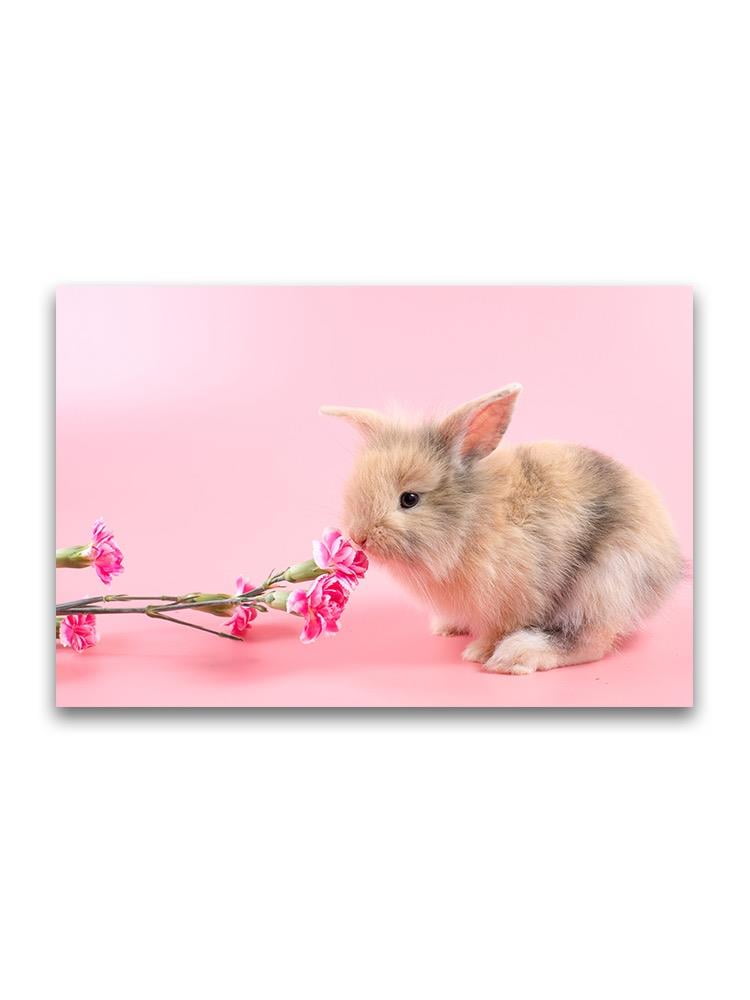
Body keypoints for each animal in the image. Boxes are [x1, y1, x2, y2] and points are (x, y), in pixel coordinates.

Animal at [320, 385, 683, 674]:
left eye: (409, 499)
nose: (358, 536)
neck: (469, 521)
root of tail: (669, 566)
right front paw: (446, 628)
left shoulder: (509, 601)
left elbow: (496, 629)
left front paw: (477, 653)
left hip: (602, 584)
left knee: (590, 642)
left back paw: (516, 657)